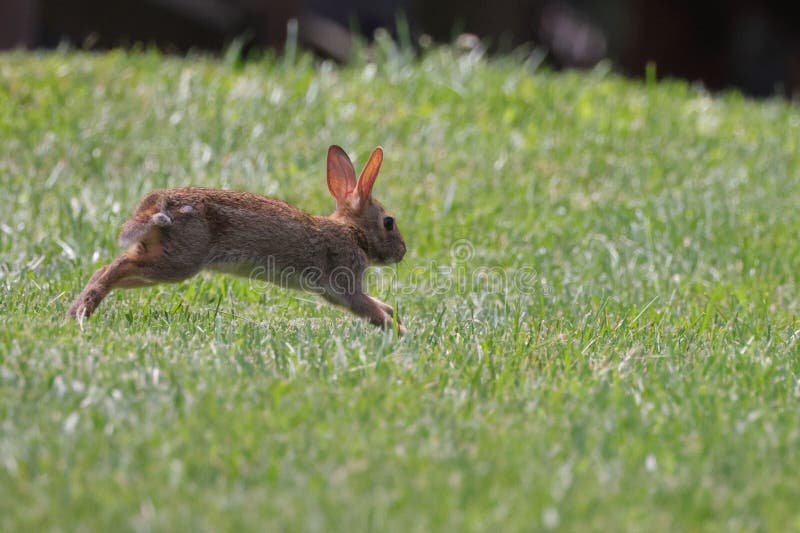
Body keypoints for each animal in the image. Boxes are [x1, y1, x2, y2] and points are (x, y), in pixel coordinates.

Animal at [68, 145, 408, 334]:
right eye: (389, 222)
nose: (403, 252)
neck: (353, 232)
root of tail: (158, 204)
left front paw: (395, 315)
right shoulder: (344, 283)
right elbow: (367, 308)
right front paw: (400, 330)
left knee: (111, 268)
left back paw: (78, 309)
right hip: (179, 261)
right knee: (118, 266)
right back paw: (84, 309)